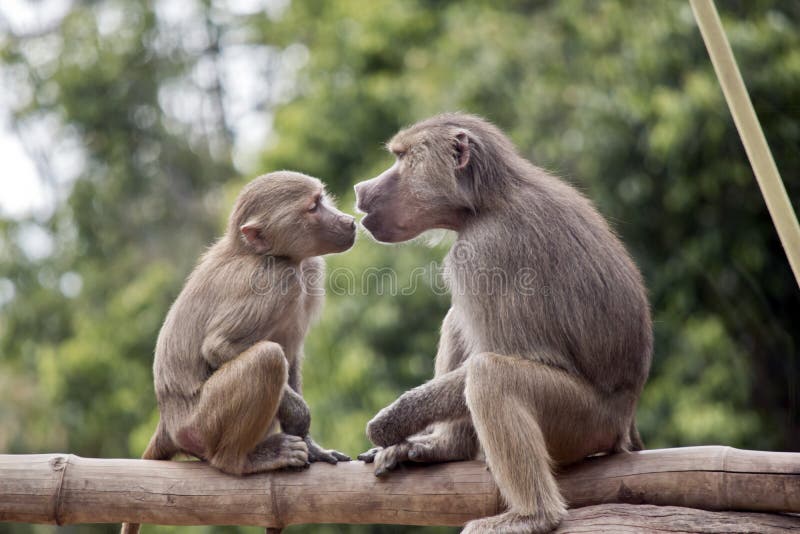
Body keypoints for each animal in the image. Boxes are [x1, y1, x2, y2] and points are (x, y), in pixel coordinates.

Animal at [121, 171, 355, 534]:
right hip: (202, 422)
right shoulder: (278, 281)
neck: (265, 254)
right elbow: (220, 347)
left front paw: (311, 443)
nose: (350, 222)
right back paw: (240, 461)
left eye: (321, 199)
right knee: (267, 360)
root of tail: (168, 421)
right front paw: (300, 418)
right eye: (314, 207)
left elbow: (293, 357)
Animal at [353, 113, 652, 533]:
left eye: (401, 157)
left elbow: (519, 357)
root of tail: (626, 419)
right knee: (458, 321)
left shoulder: (481, 253)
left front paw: (391, 421)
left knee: (491, 375)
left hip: (584, 423)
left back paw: (532, 516)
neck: (486, 202)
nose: (360, 189)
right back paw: (445, 448)